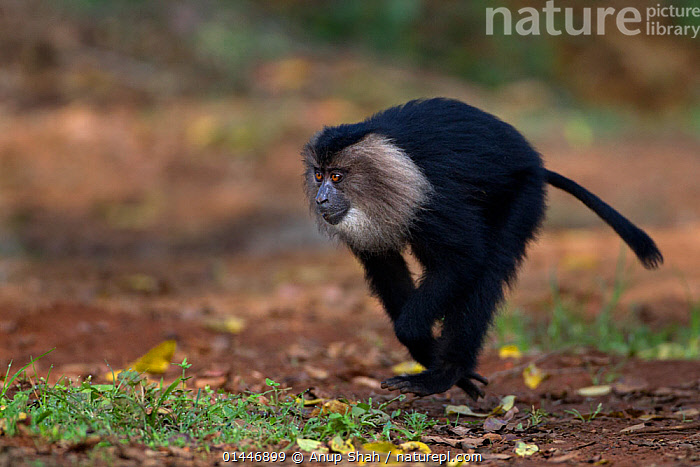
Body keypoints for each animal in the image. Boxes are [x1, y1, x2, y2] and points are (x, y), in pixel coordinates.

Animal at [302, 98, 662, 400]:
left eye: (337, 177)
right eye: (319, 175)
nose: (321, 199)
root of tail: (534, 163)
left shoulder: (437, 199)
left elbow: (464, 260)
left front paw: (425, 347)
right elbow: (387, 269)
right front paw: (427, 352)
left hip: (523, 194)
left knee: (488, 270)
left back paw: (447, 373)